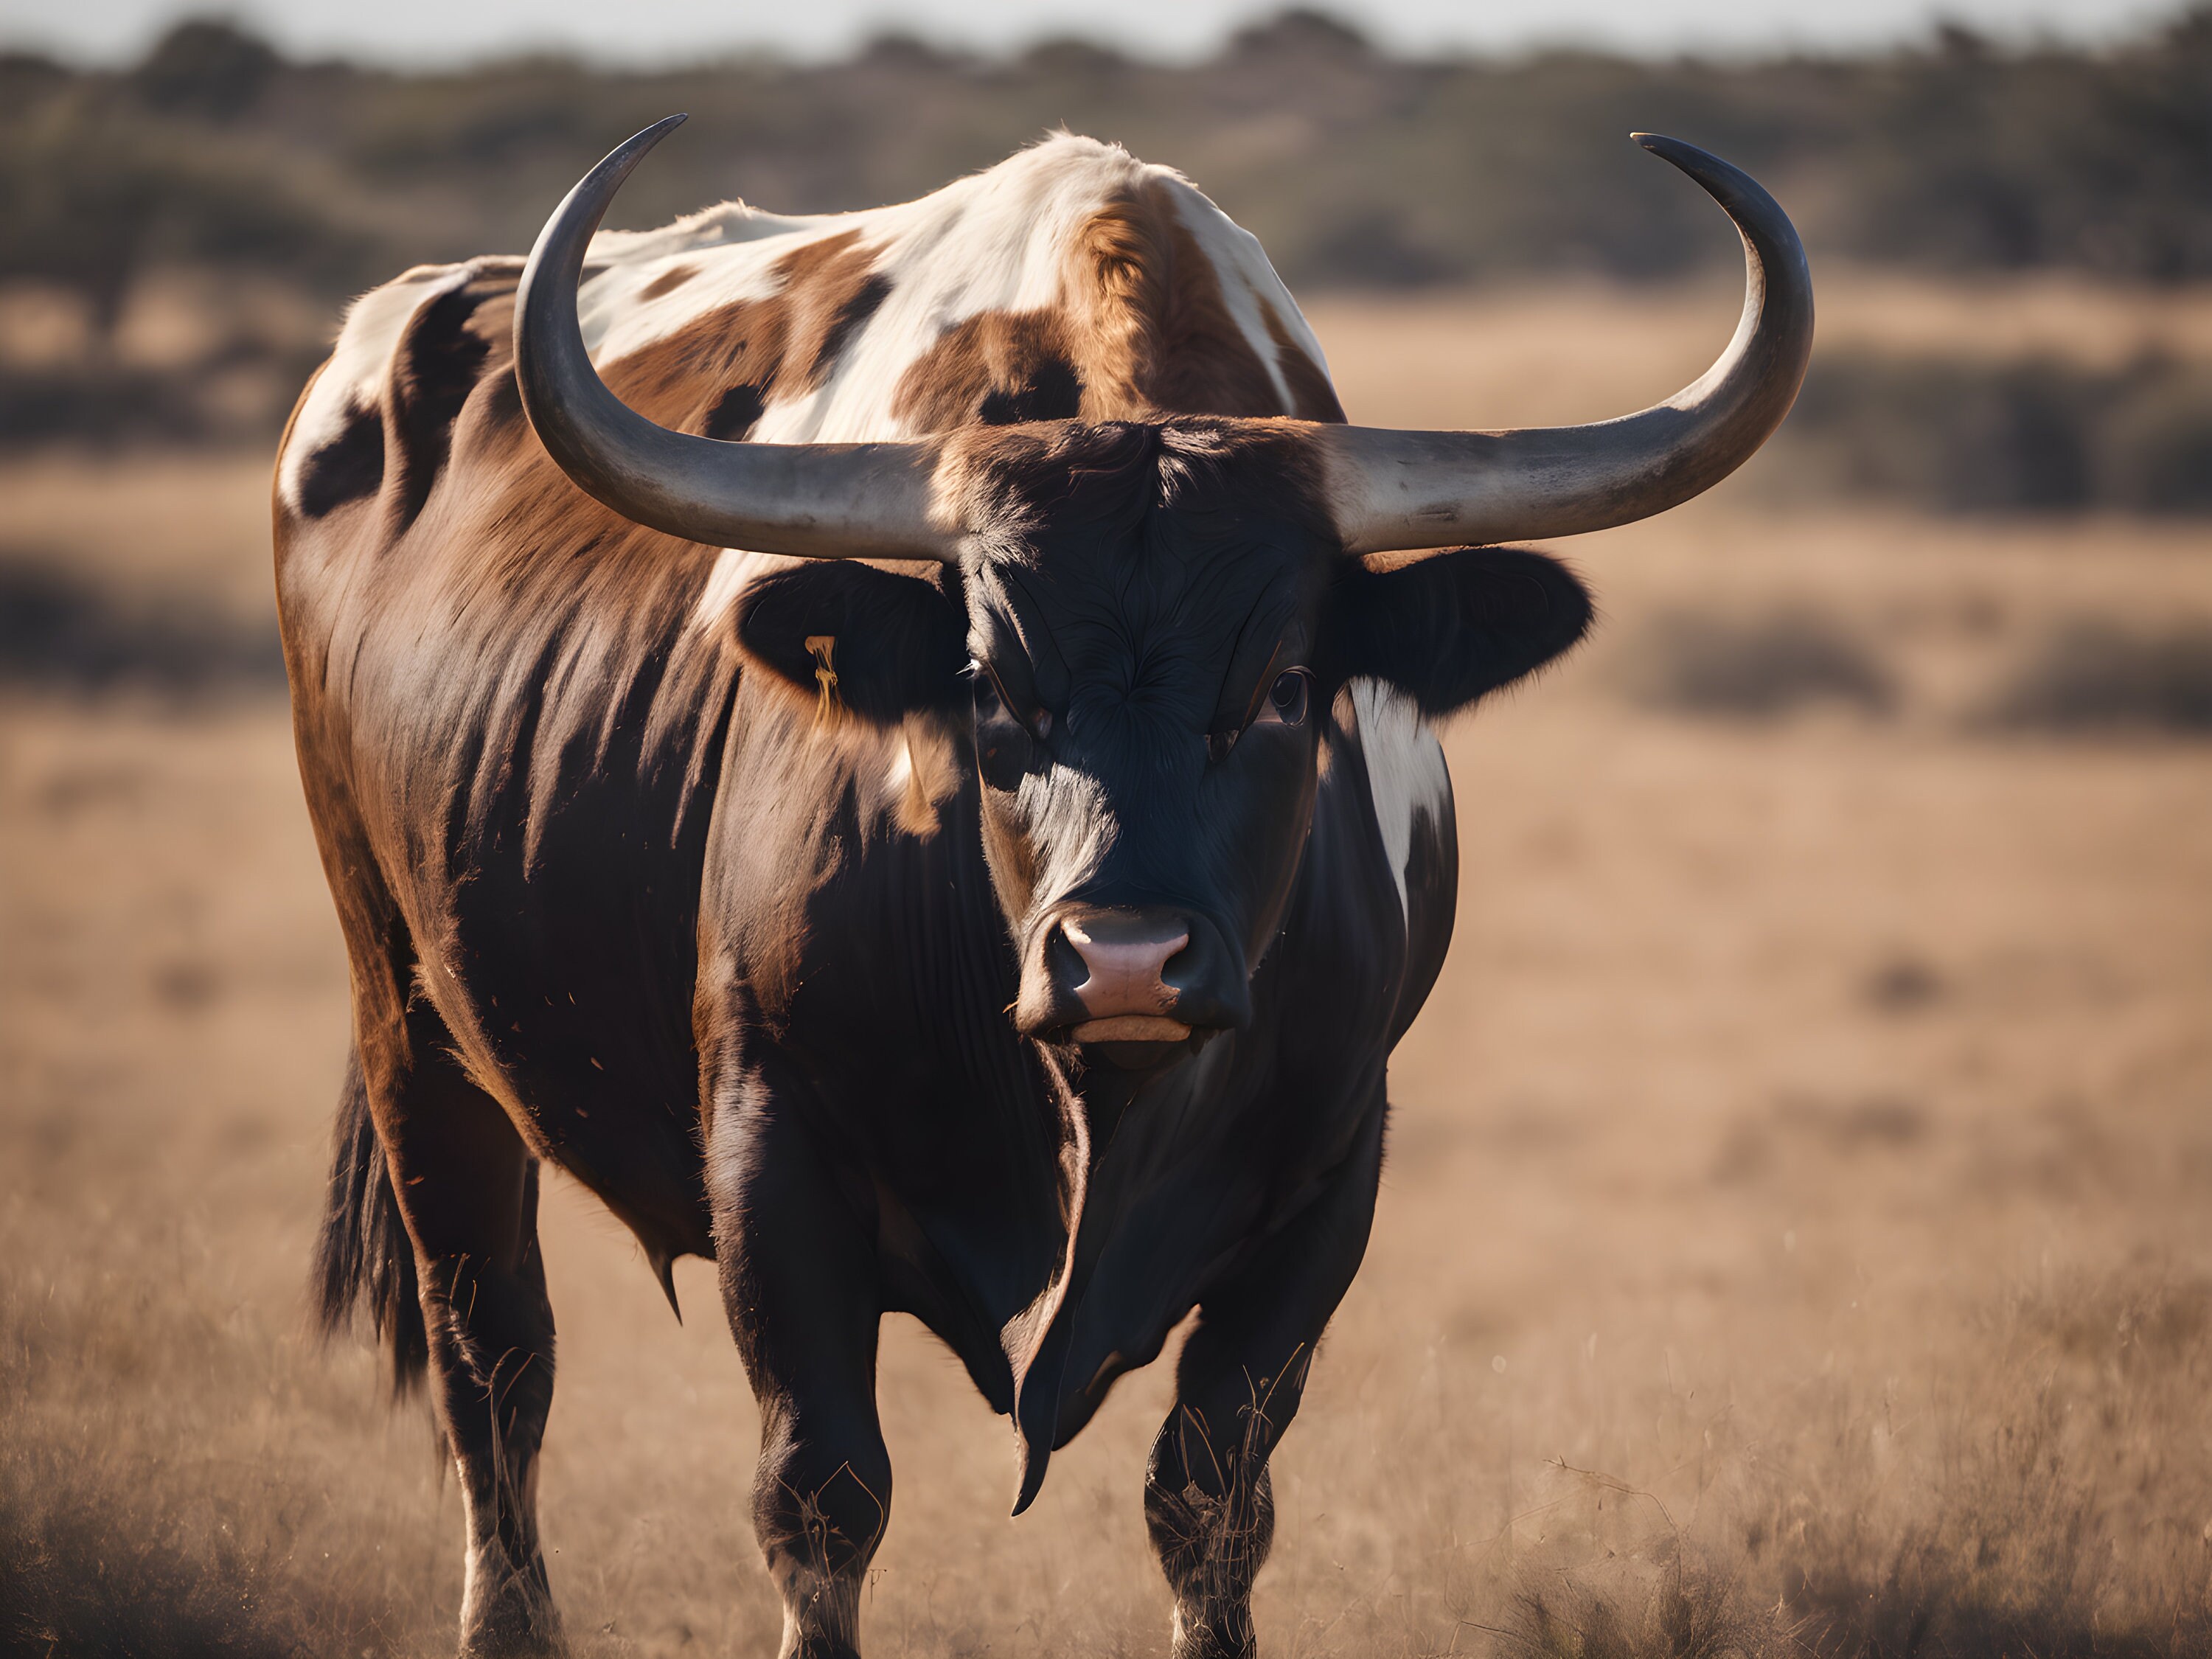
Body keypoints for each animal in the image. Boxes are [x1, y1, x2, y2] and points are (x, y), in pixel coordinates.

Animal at [282, 116, 1809, 1658]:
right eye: (987, 685)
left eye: (1287, 687)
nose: (1125, 962)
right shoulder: (773, 1152)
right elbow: (821, 1497)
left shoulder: (1328, 1183)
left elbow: (1210, 1497)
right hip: (406, 1022)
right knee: (494, 1370)